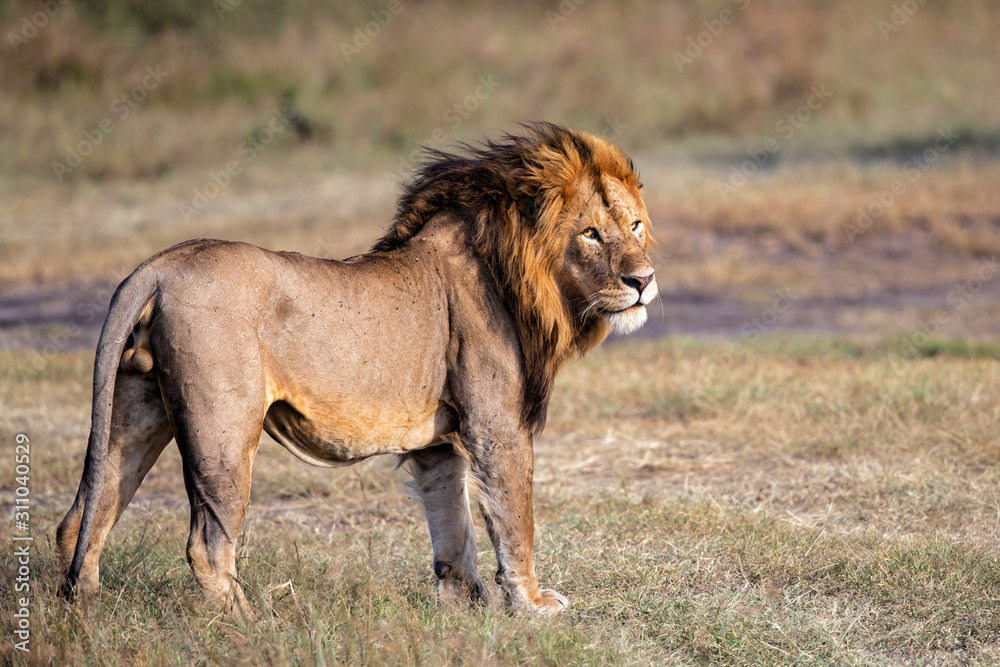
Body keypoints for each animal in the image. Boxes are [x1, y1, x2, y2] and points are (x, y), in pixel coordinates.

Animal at [56, 122, 657, 616]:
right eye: (590, 234)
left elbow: (452, 524)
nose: (643, 280)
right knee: (206, 544)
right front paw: (530, 605)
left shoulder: (437, 440)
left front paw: (465, 607)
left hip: (135, 412)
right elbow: (513, 521)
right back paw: (253, 626)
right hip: (222, 429)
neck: (525, 278)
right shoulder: (498, 427)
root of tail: (158, 266)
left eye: (634, 226)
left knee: (83, 517)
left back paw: (83, 613)